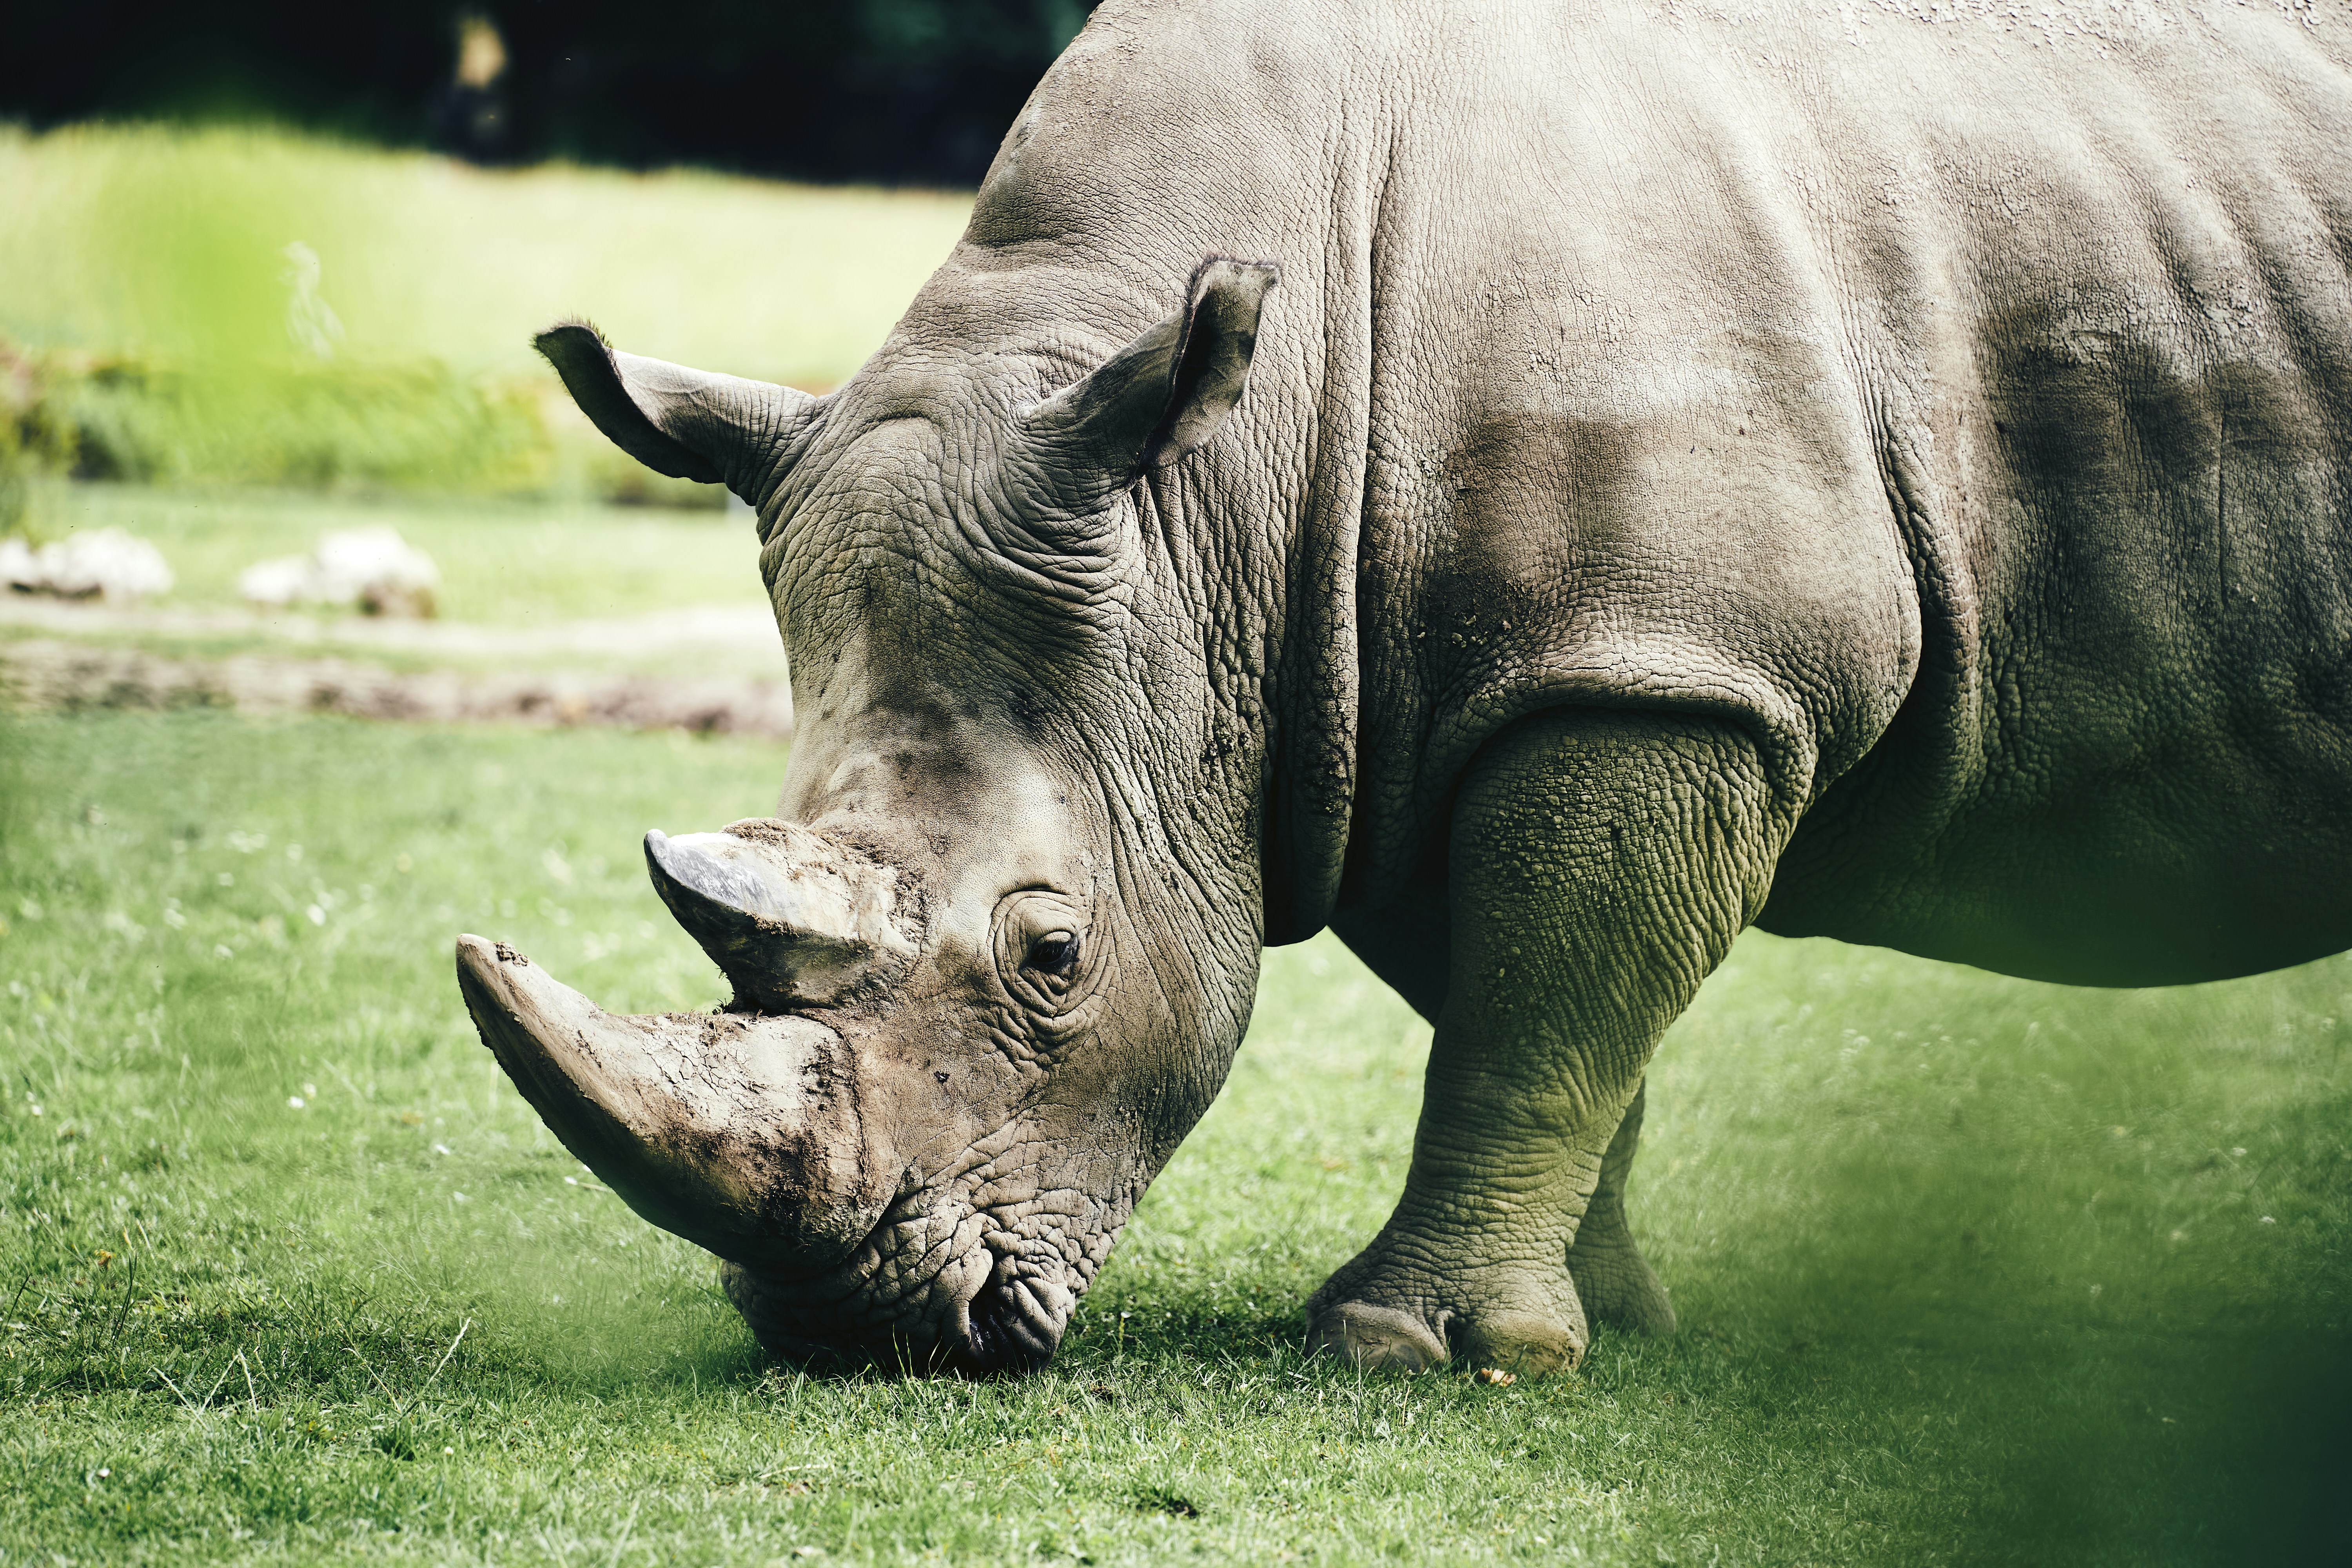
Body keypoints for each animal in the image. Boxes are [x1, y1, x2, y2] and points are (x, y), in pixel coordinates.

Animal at [455, 0, 2352, 1374]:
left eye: (1052, 956)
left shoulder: (1653, 670)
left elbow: (1544, 1012)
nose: (861, 1329)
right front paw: (1584, 1322)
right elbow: (1537, 1007)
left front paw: (1412, 1346)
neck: (1213, 498)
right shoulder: (1366, 701)